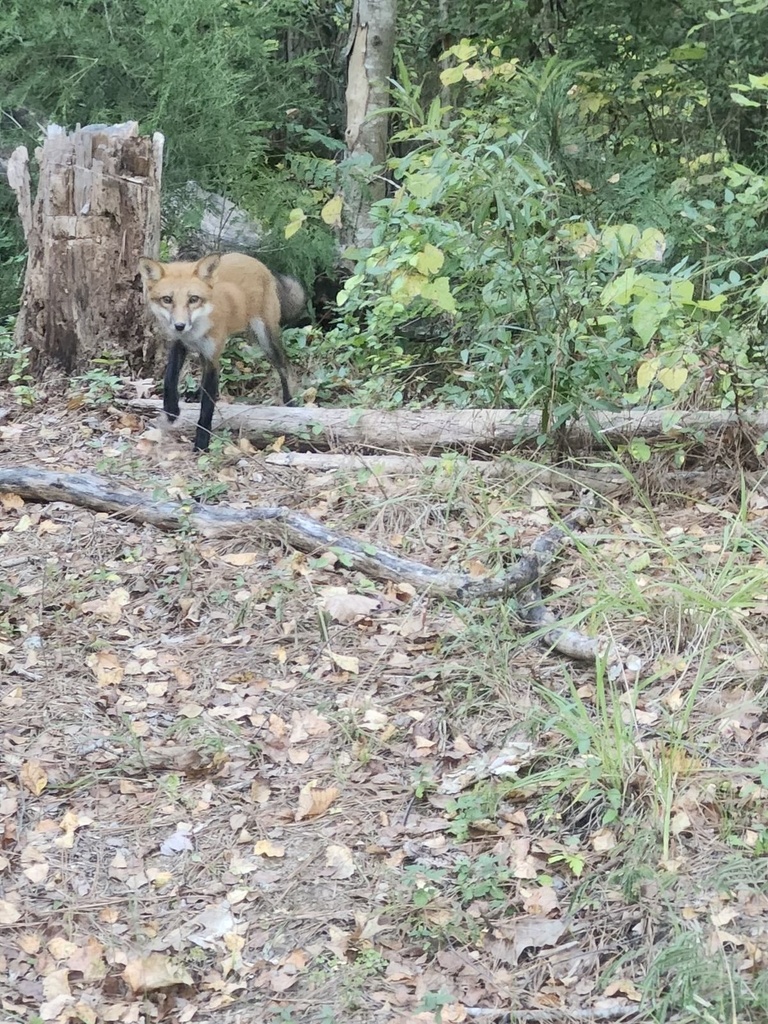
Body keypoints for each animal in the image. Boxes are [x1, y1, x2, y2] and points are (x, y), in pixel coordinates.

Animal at [139, 252, 305, 452]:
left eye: (193, 299)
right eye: (167, 299)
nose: (180, 325)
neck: (195, 331)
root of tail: (258, 263)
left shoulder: (212, 355)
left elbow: (207, 407)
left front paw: (202, 443)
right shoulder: (179, 343)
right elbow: (169, 377)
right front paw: (171, 410)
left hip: (266, 338)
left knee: (285, 368)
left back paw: (290, 402)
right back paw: (195, 394)